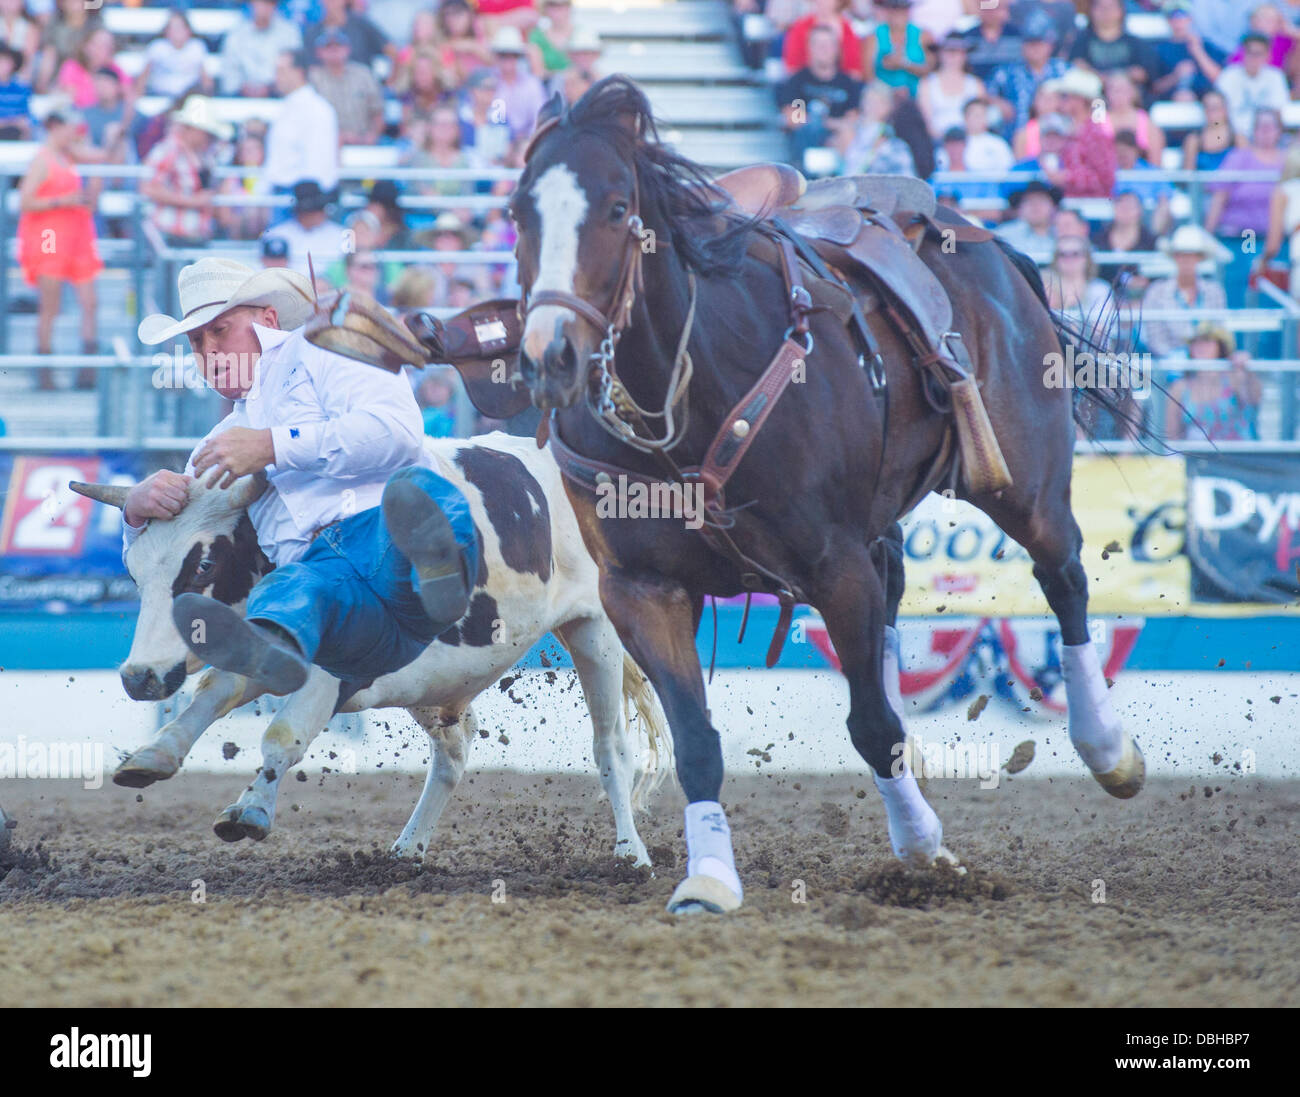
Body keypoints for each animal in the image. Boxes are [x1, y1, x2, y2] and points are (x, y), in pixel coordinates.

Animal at [71, 432, 669, 865]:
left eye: (204, 564)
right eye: (134, 570)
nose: (138, 677)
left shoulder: (331, 669)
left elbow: (282, 735)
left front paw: (251, 810)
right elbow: (213, 692)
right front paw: (155, 753)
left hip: (595, 630)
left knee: (610, 747)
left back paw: (630, 853)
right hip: (431, 681)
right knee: (453, 755)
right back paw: (407, 849)